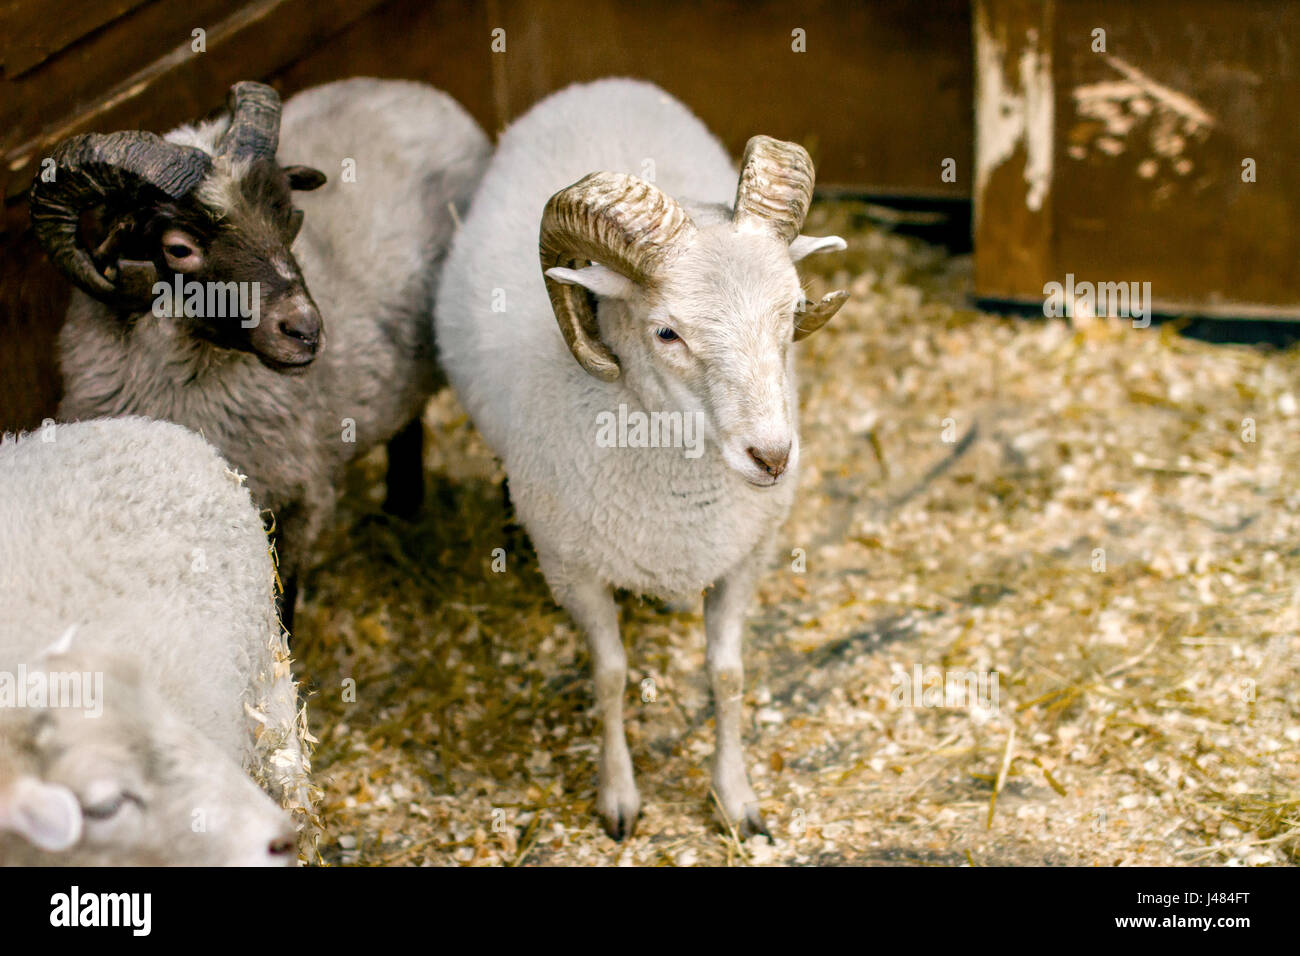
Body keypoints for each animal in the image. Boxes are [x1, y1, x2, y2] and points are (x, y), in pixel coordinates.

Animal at [28, 78, 491, 628]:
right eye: (179, 248)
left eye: (286, 217)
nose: (305, 329)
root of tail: (415, 89)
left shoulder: (296, 502)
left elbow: (280, 607)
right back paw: (402, 506)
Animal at [434, 78, 848, 839]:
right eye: (667, 333)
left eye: (791, 311)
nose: (773, 456)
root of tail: (599, 83)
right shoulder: (573, 569)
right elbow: (611, 676)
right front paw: (618, 796)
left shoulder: (746, 557)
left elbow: (727, 674)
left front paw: (735, 797)